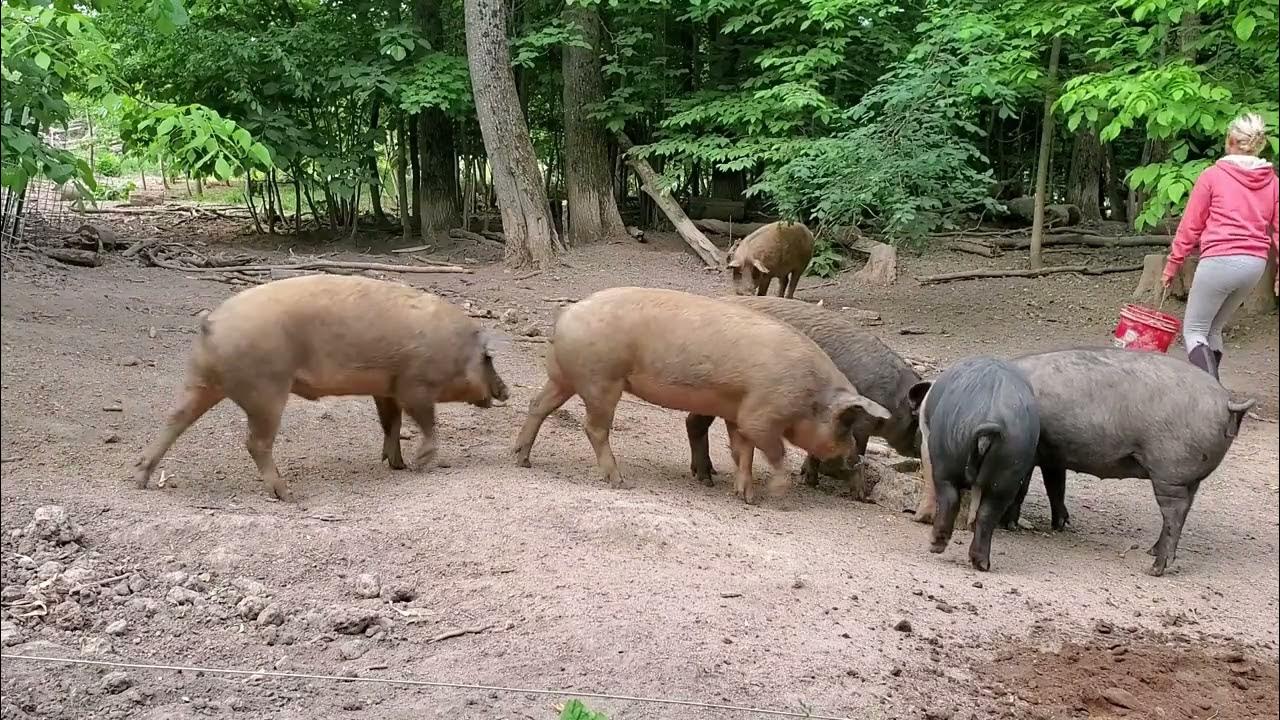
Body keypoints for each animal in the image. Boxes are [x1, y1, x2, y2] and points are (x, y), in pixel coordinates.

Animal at [133, 274, 509, 501]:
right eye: (488, 358)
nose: (506, 391)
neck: (453, 349)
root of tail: (211, 323)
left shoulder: (385, 388)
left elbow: (391, 423)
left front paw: (397, 465)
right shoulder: (414, 385)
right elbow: (426, 422)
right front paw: (421, 464)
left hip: (200, 381)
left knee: (174, 419)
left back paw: (140, 479)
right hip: (266, 391)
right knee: (255, 442)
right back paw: (287, 493)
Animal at [510, 287, 890, 504]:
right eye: (845, 425)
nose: (855, 457)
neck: (810, 396)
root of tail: (566, 314)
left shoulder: (739, 413)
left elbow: (742, 451)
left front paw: (746, 497)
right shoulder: (760, 414)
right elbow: (774, 451)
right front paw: (776, 494)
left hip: (563, 377)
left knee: (537, 405)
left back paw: (522, 460)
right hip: (602, 380)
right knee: (594, 428)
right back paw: (619, 481)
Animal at [685, 296, 922, 500]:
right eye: (919, 422)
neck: (893, 402)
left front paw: (811, 481)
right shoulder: (860, 425)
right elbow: (856, 452)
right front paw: (860, 496)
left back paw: (708, 474)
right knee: (695, 423)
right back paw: (706, 479)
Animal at [906, 357, 1040, 572]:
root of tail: (989, 417)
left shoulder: (926, 444)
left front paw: (920, 518)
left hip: (946, 454)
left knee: (949, 497)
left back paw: (934, 544)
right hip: (1010, 468)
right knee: (988, 512)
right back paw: (981, 563)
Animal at [994, 347, 1253, 576]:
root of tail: (1226, 402)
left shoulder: (1032, 455)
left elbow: (1022, 489)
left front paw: (1009, 526)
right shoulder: (1053, 456)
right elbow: (1055, 487)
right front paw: (1060, 525)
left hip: (1170, 471)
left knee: (1174, 512)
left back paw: (1154, 568)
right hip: (1190, 478)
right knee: (1185, 508)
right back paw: (1151, 551)